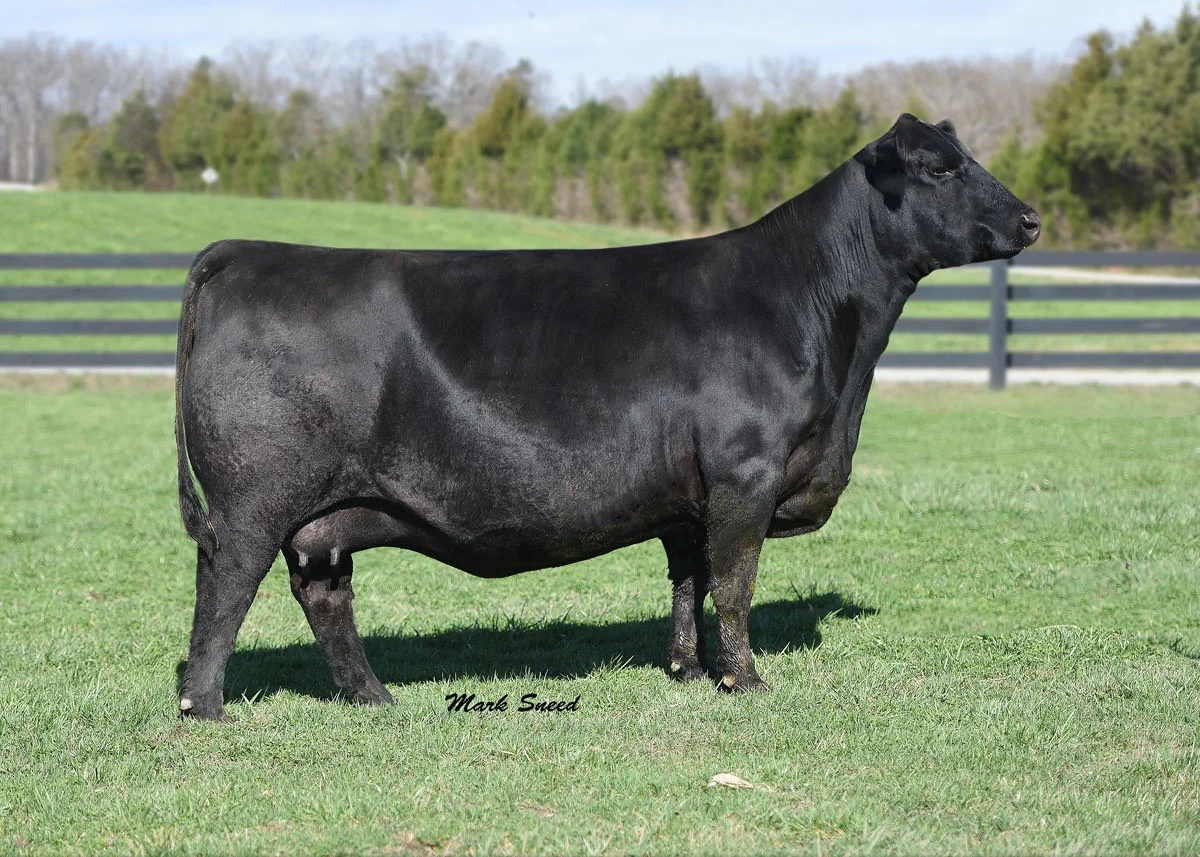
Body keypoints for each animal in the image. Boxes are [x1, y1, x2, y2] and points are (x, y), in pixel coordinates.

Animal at [174, 114, 1040, 720]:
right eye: (940, 168)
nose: (1032, 219)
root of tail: (240, 251)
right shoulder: (745, 473)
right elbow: (735, 584)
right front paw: (746, 678)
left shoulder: (691, 496)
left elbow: (689, 580)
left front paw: (690, 669)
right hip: (254, 498)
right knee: (226, 586)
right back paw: (206, 706)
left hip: (326, 514)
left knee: (324, 593)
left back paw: (374, 697)